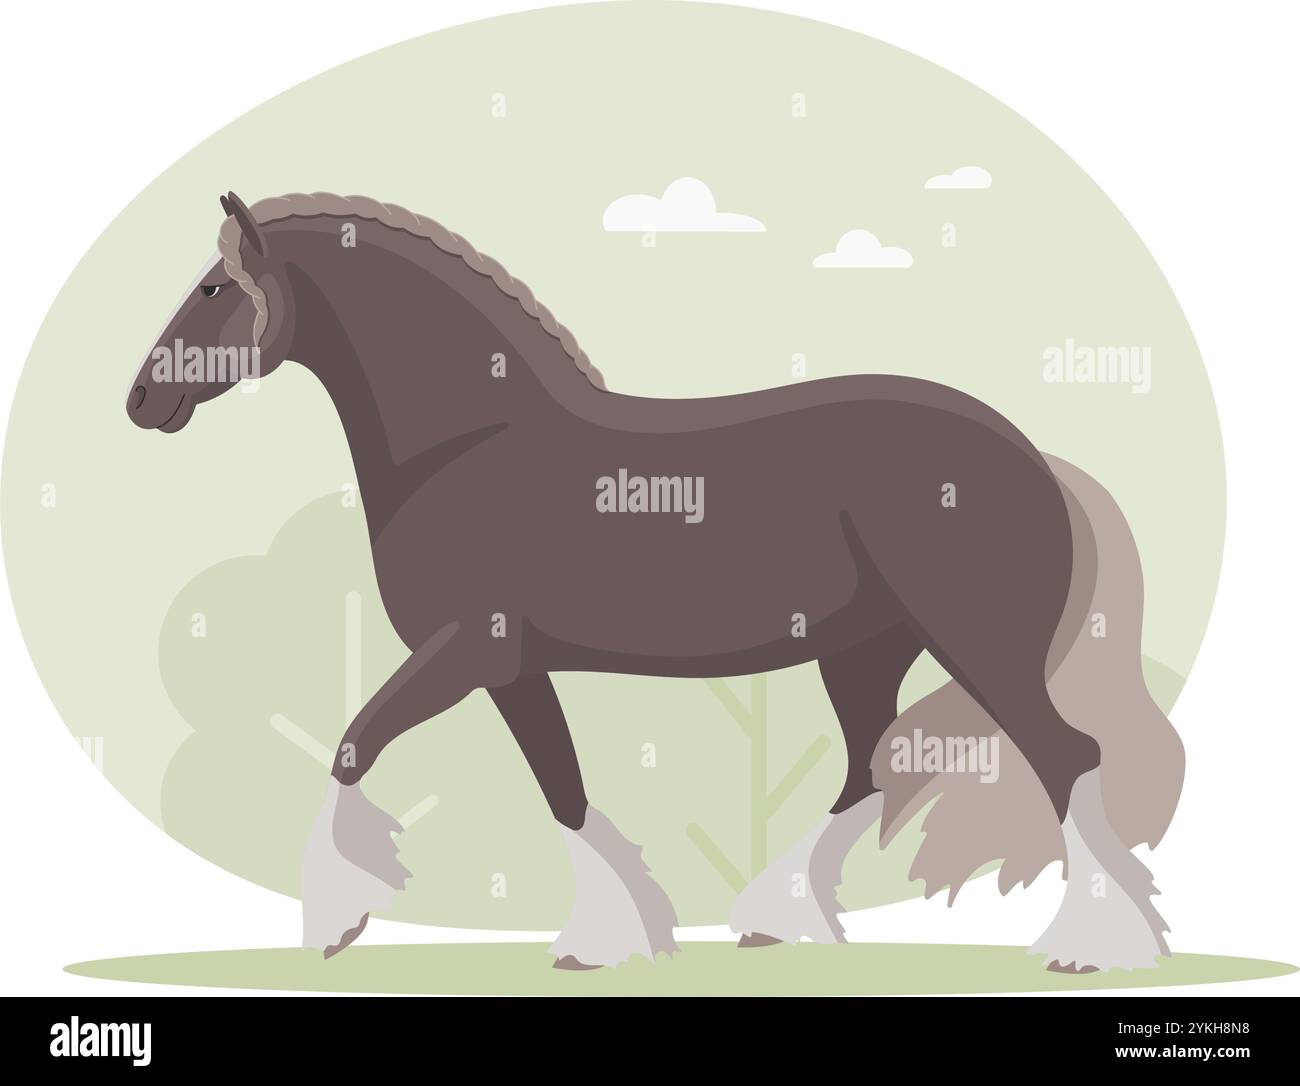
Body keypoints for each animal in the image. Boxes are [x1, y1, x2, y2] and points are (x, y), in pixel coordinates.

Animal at [126, 191, 1181, 972]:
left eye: (215, 285)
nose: (142, 400)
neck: (468, 448)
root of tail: (1030, 458)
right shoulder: (513, 670)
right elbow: (563, 791)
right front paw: (607, 941)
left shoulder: (468, 651)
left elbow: (354, 745)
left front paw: (335, 924)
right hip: (863, 652)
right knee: (868, 768)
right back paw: (778, 919)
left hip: (977, 645)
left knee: (1065, 758)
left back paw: (1091, 950)